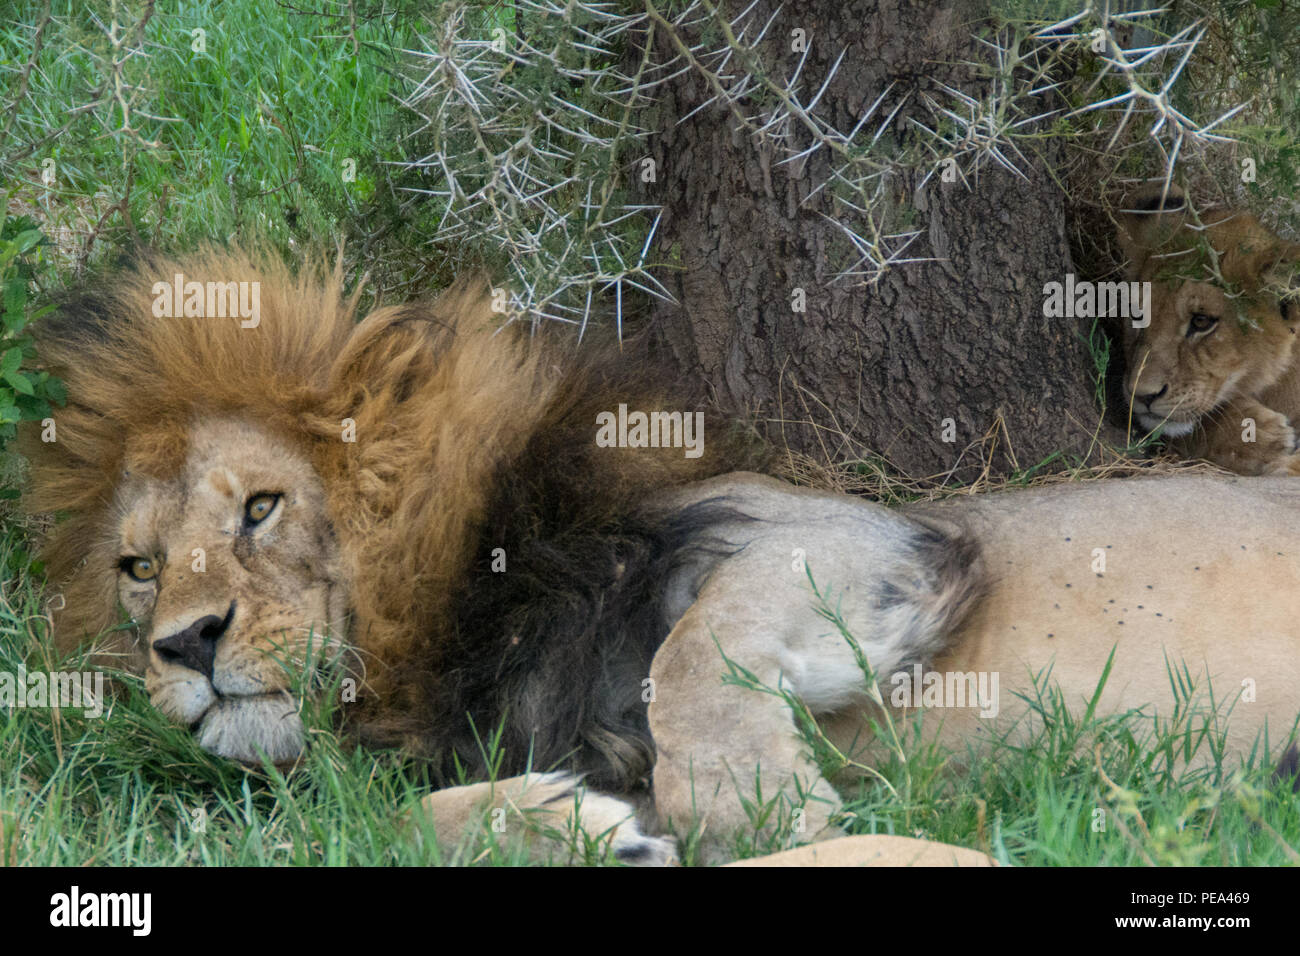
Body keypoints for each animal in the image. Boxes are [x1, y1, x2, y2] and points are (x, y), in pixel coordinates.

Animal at [21, 247, 1300, 866]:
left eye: (260, 508)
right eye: (138, 567)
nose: (184, 645)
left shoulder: (862, 533)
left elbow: (687, 656)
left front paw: (757, 798)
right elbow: (384, 824)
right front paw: (593, 830)